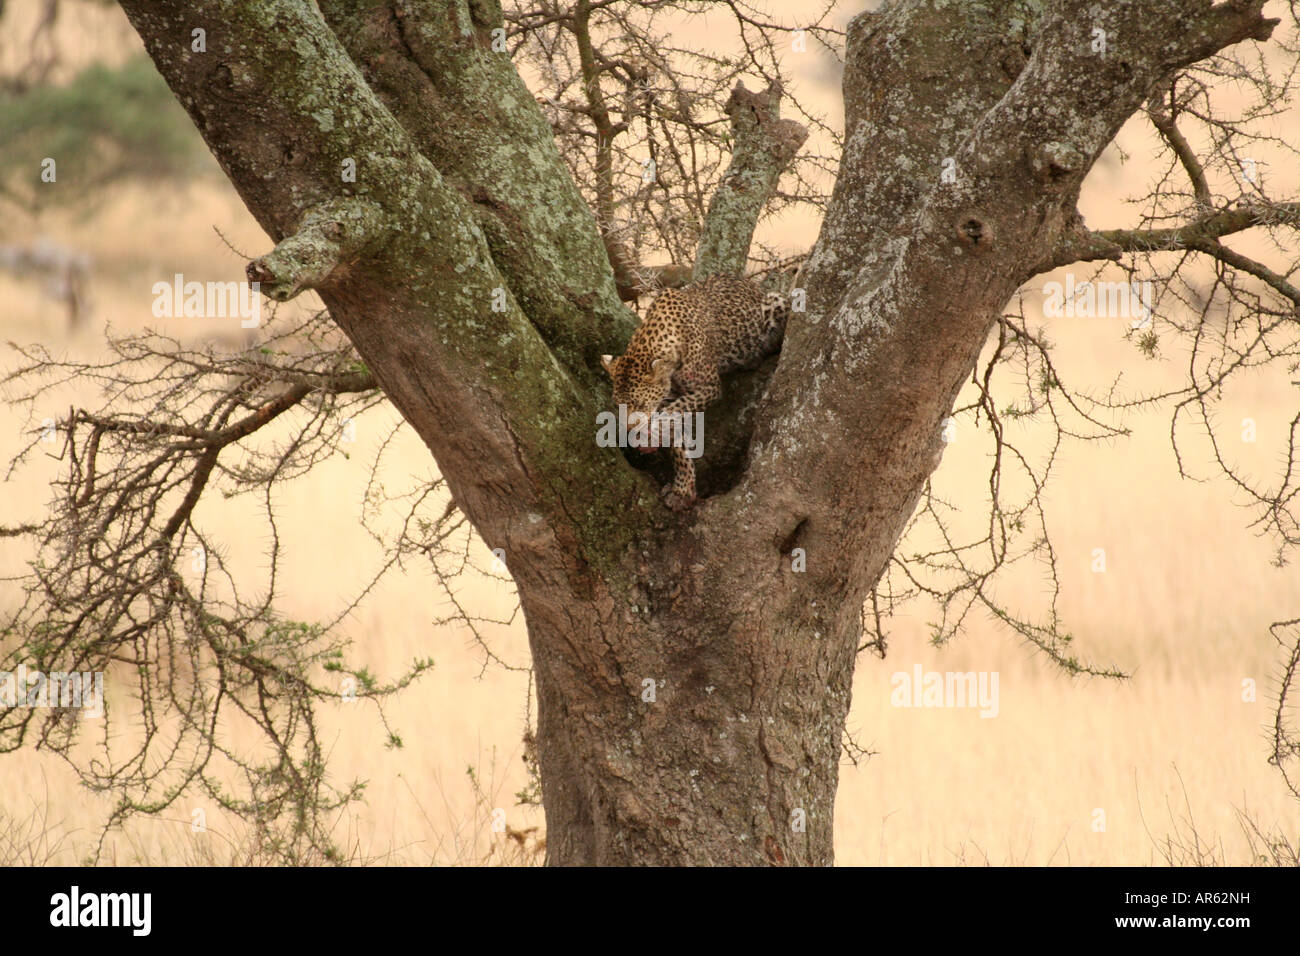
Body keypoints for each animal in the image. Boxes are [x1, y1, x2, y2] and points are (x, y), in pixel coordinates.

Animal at [601, 272, 788, 511]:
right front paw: (682, 489)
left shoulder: (707, 387)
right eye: (618, 405)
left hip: (775, 300)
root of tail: (754, 285)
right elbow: (676, 436)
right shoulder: (669, 396)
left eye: (640, 404)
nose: (629, 429)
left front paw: (651, 435)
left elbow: (672, 412)